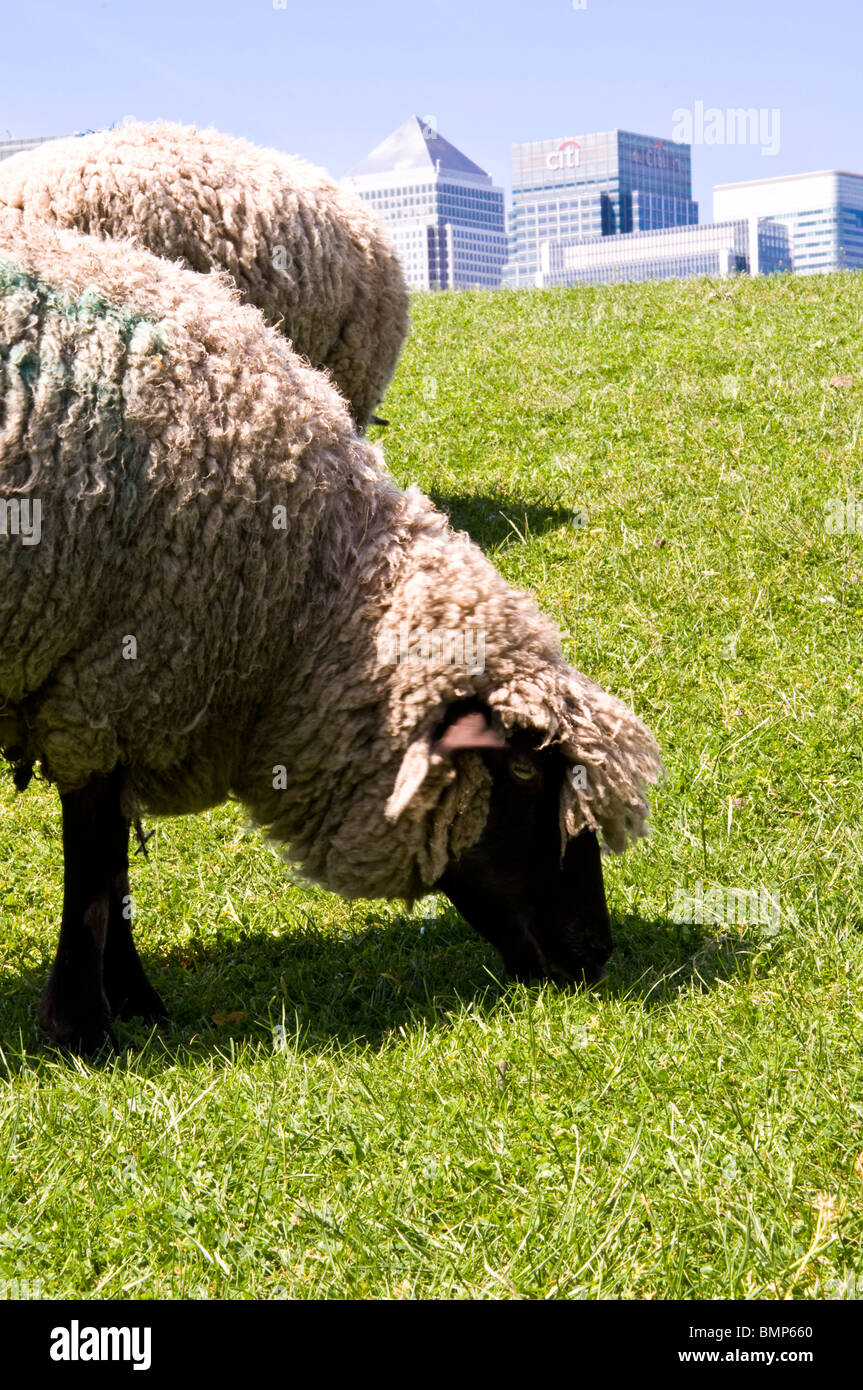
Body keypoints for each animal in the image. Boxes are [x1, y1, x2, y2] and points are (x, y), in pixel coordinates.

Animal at [0, 215, 663, 1053]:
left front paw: (132, 1000)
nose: (594, 952)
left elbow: (110, 850)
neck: (300, 607)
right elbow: (96, 857)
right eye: (518, 771)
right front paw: (84, 1023)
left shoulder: (116, 686)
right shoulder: (113, 676)